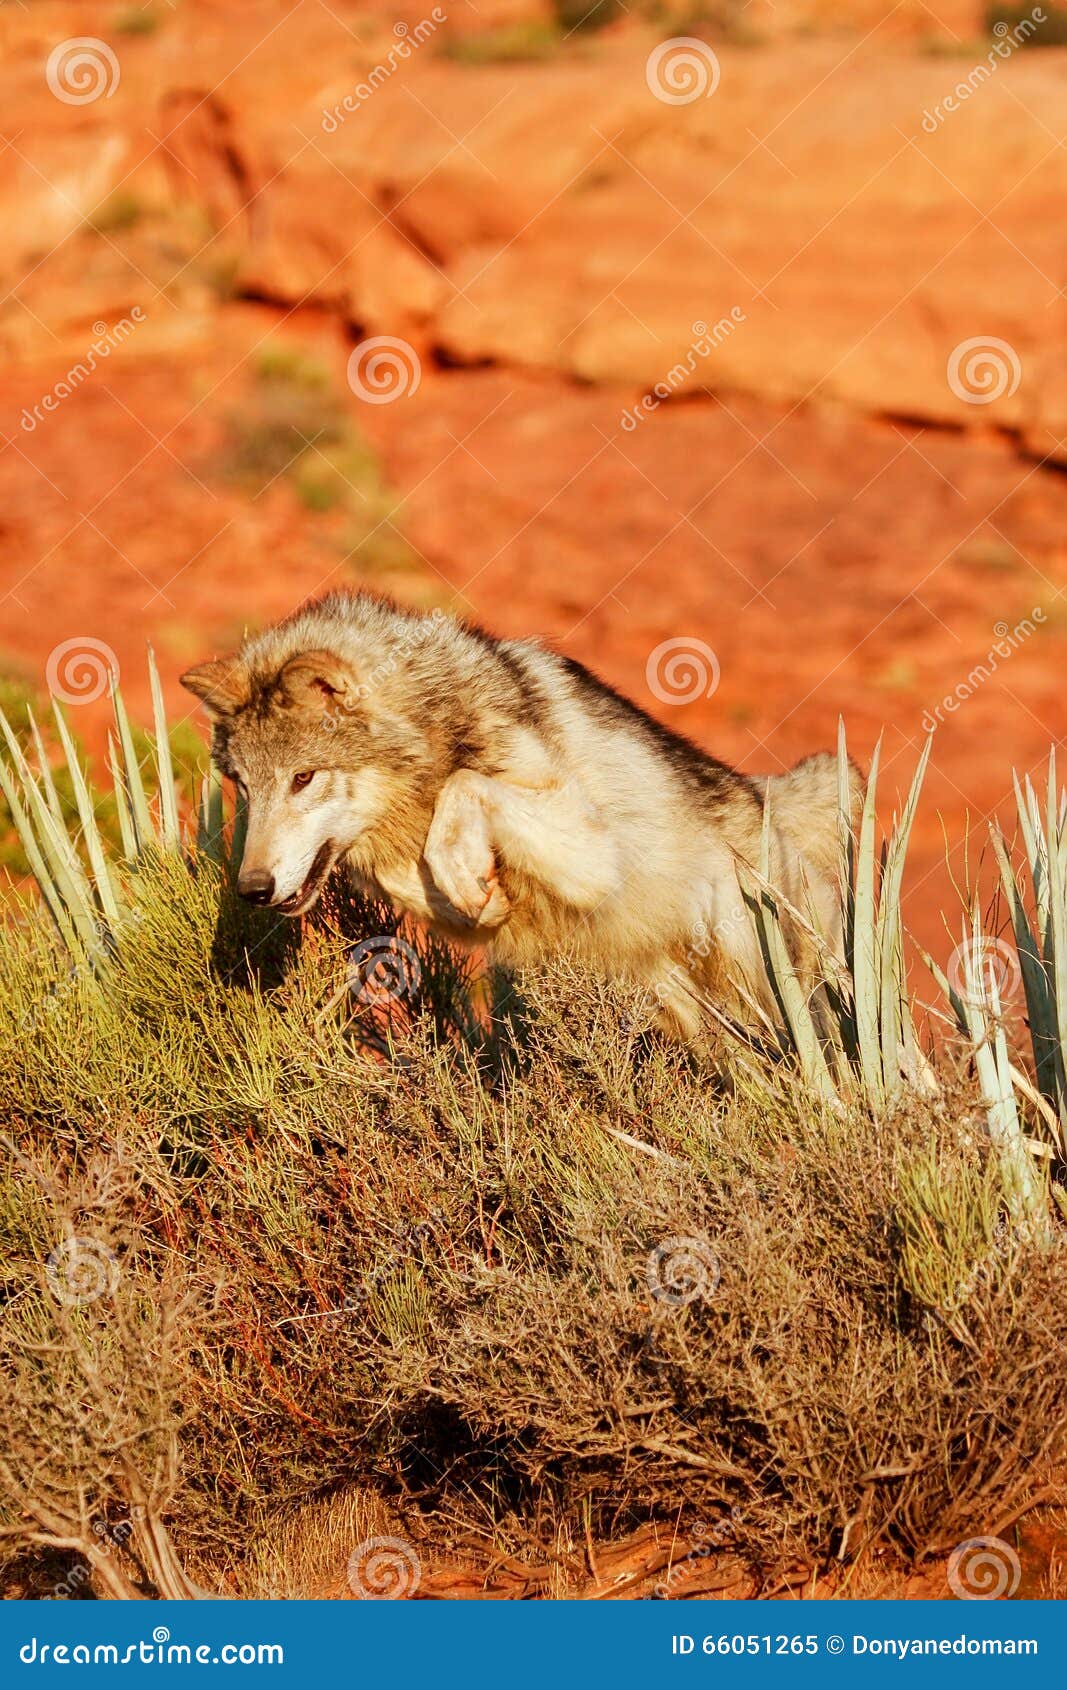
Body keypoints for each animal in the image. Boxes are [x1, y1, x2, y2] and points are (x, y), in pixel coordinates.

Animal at [181, 592, 860, 1040]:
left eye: (303, 778)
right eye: (243, 787)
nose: (252, 889)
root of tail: (772, 798)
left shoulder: (592, 855)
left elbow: (463, 787)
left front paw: (462, 867)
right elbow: (428, 881)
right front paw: (477, 890)